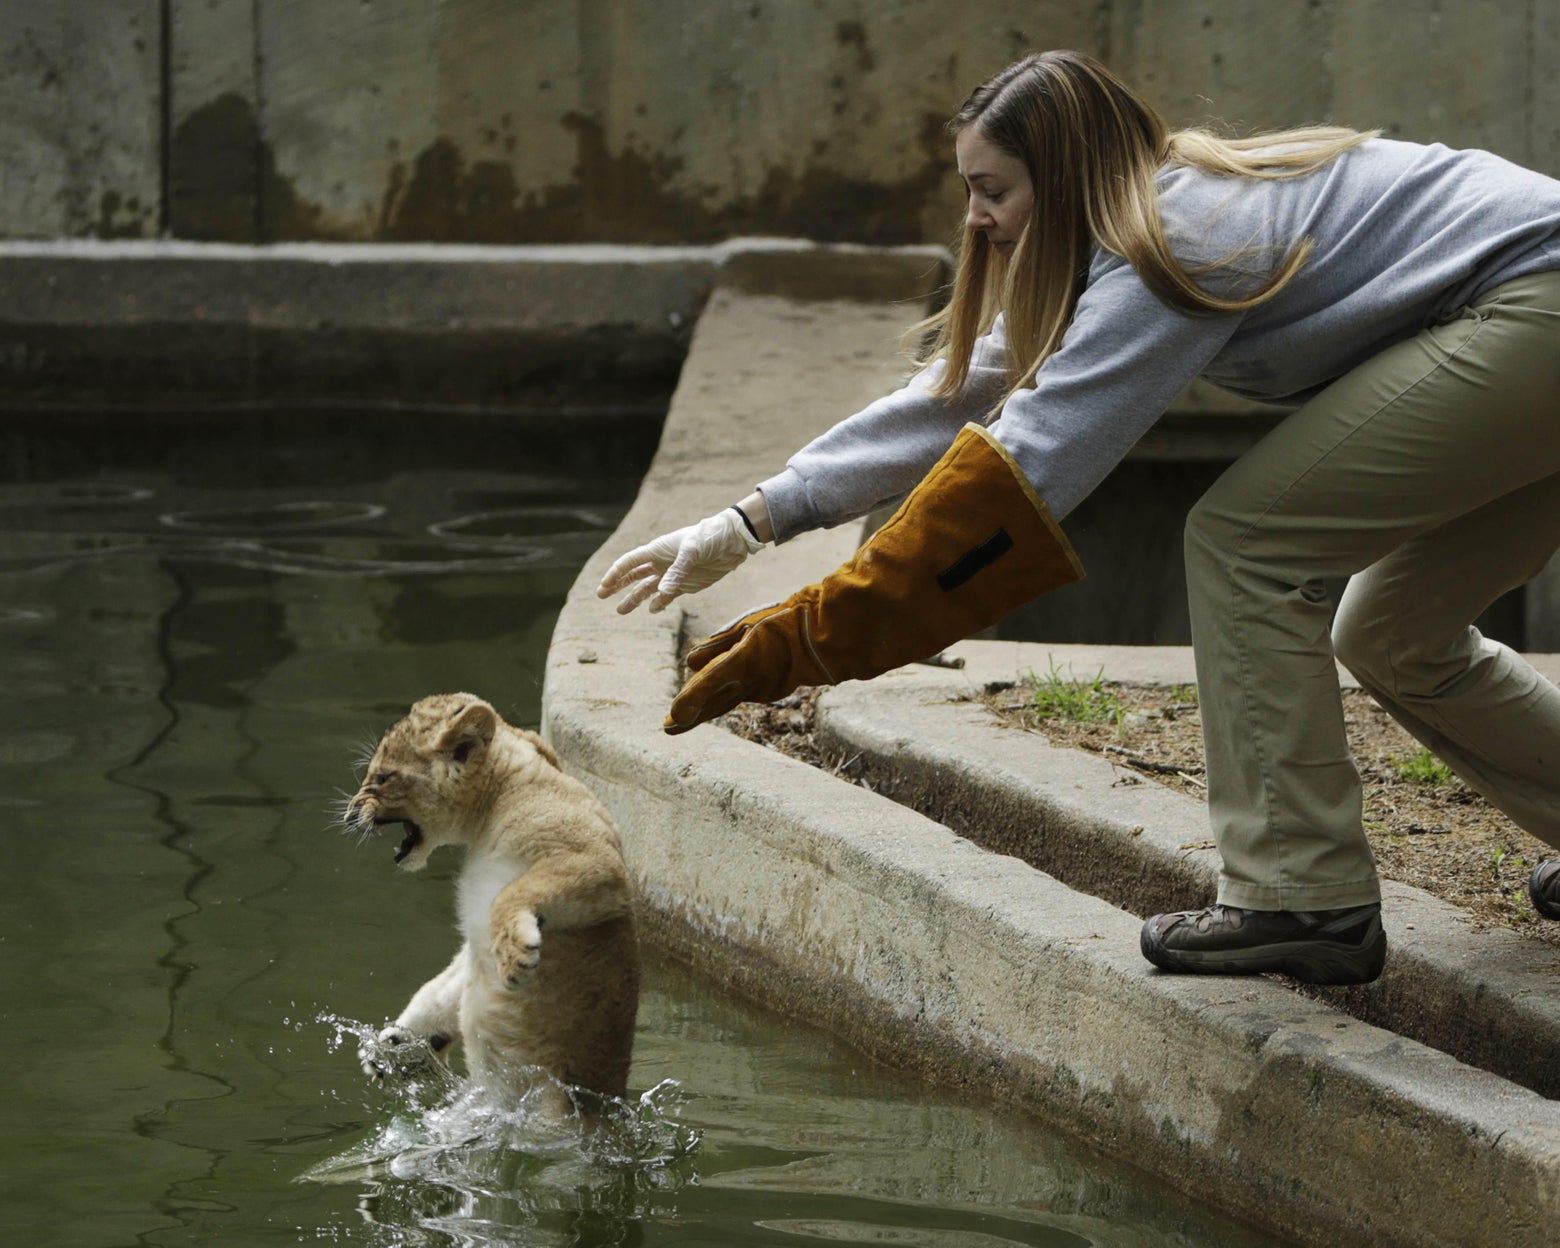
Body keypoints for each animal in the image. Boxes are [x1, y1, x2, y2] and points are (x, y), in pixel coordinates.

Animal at [342, 693, 639, 1114]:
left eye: (382, 777)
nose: (350, 813)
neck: (490, 813)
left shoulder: (601, 867)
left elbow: (510, 893)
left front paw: (517, 959)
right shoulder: (471, 945)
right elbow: (441, 986)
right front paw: (396, 1045)